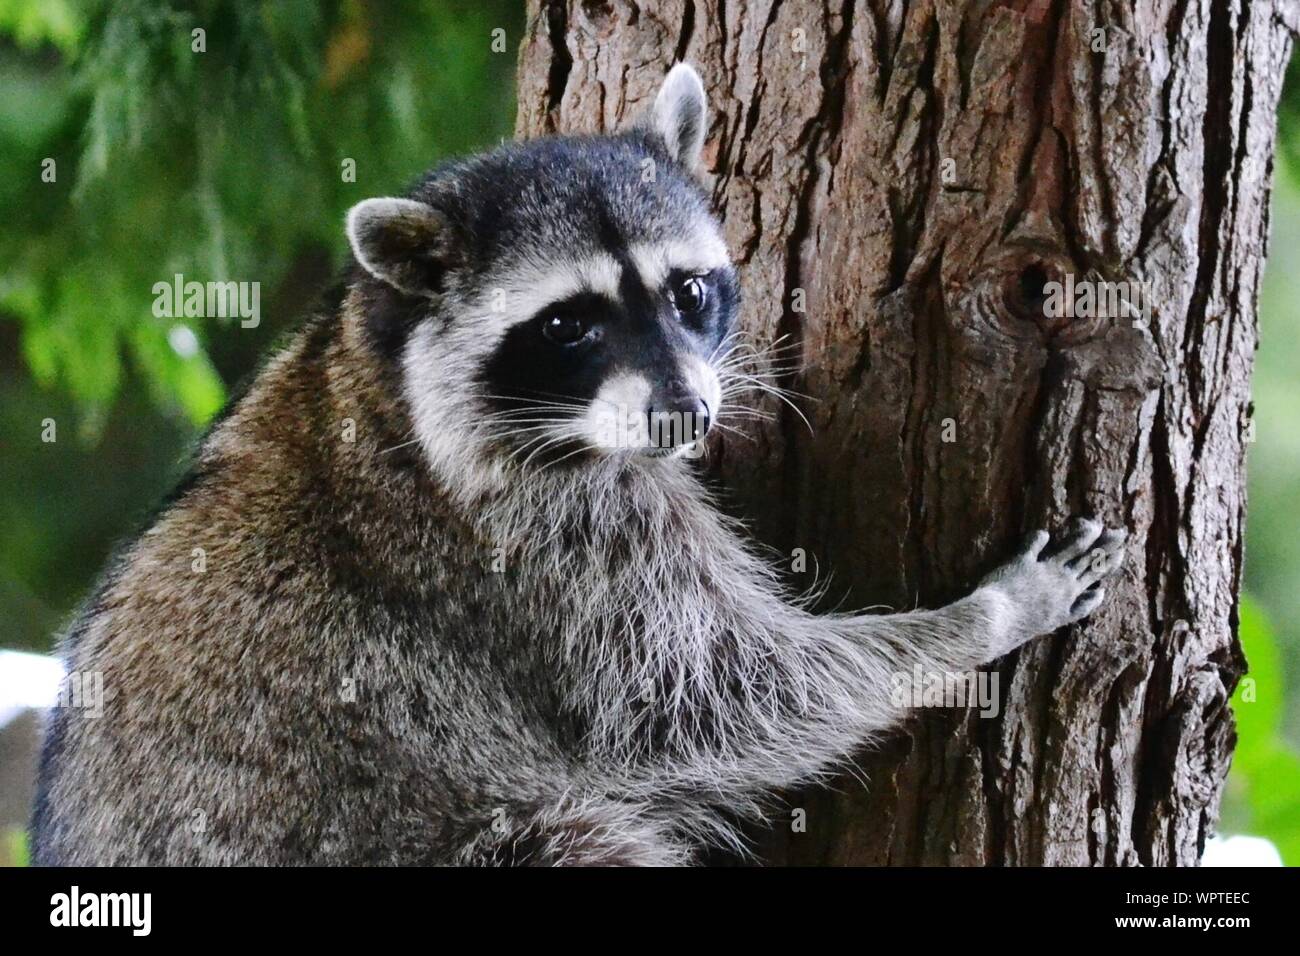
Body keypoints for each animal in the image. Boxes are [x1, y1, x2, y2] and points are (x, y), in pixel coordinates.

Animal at [31, 64, 1126, 866]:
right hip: (445, 837)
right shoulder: (532, 542)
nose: (686, 411)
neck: (375, 364)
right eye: (568, 325)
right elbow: (713, 694)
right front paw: (979, 619)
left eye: (688, 292)